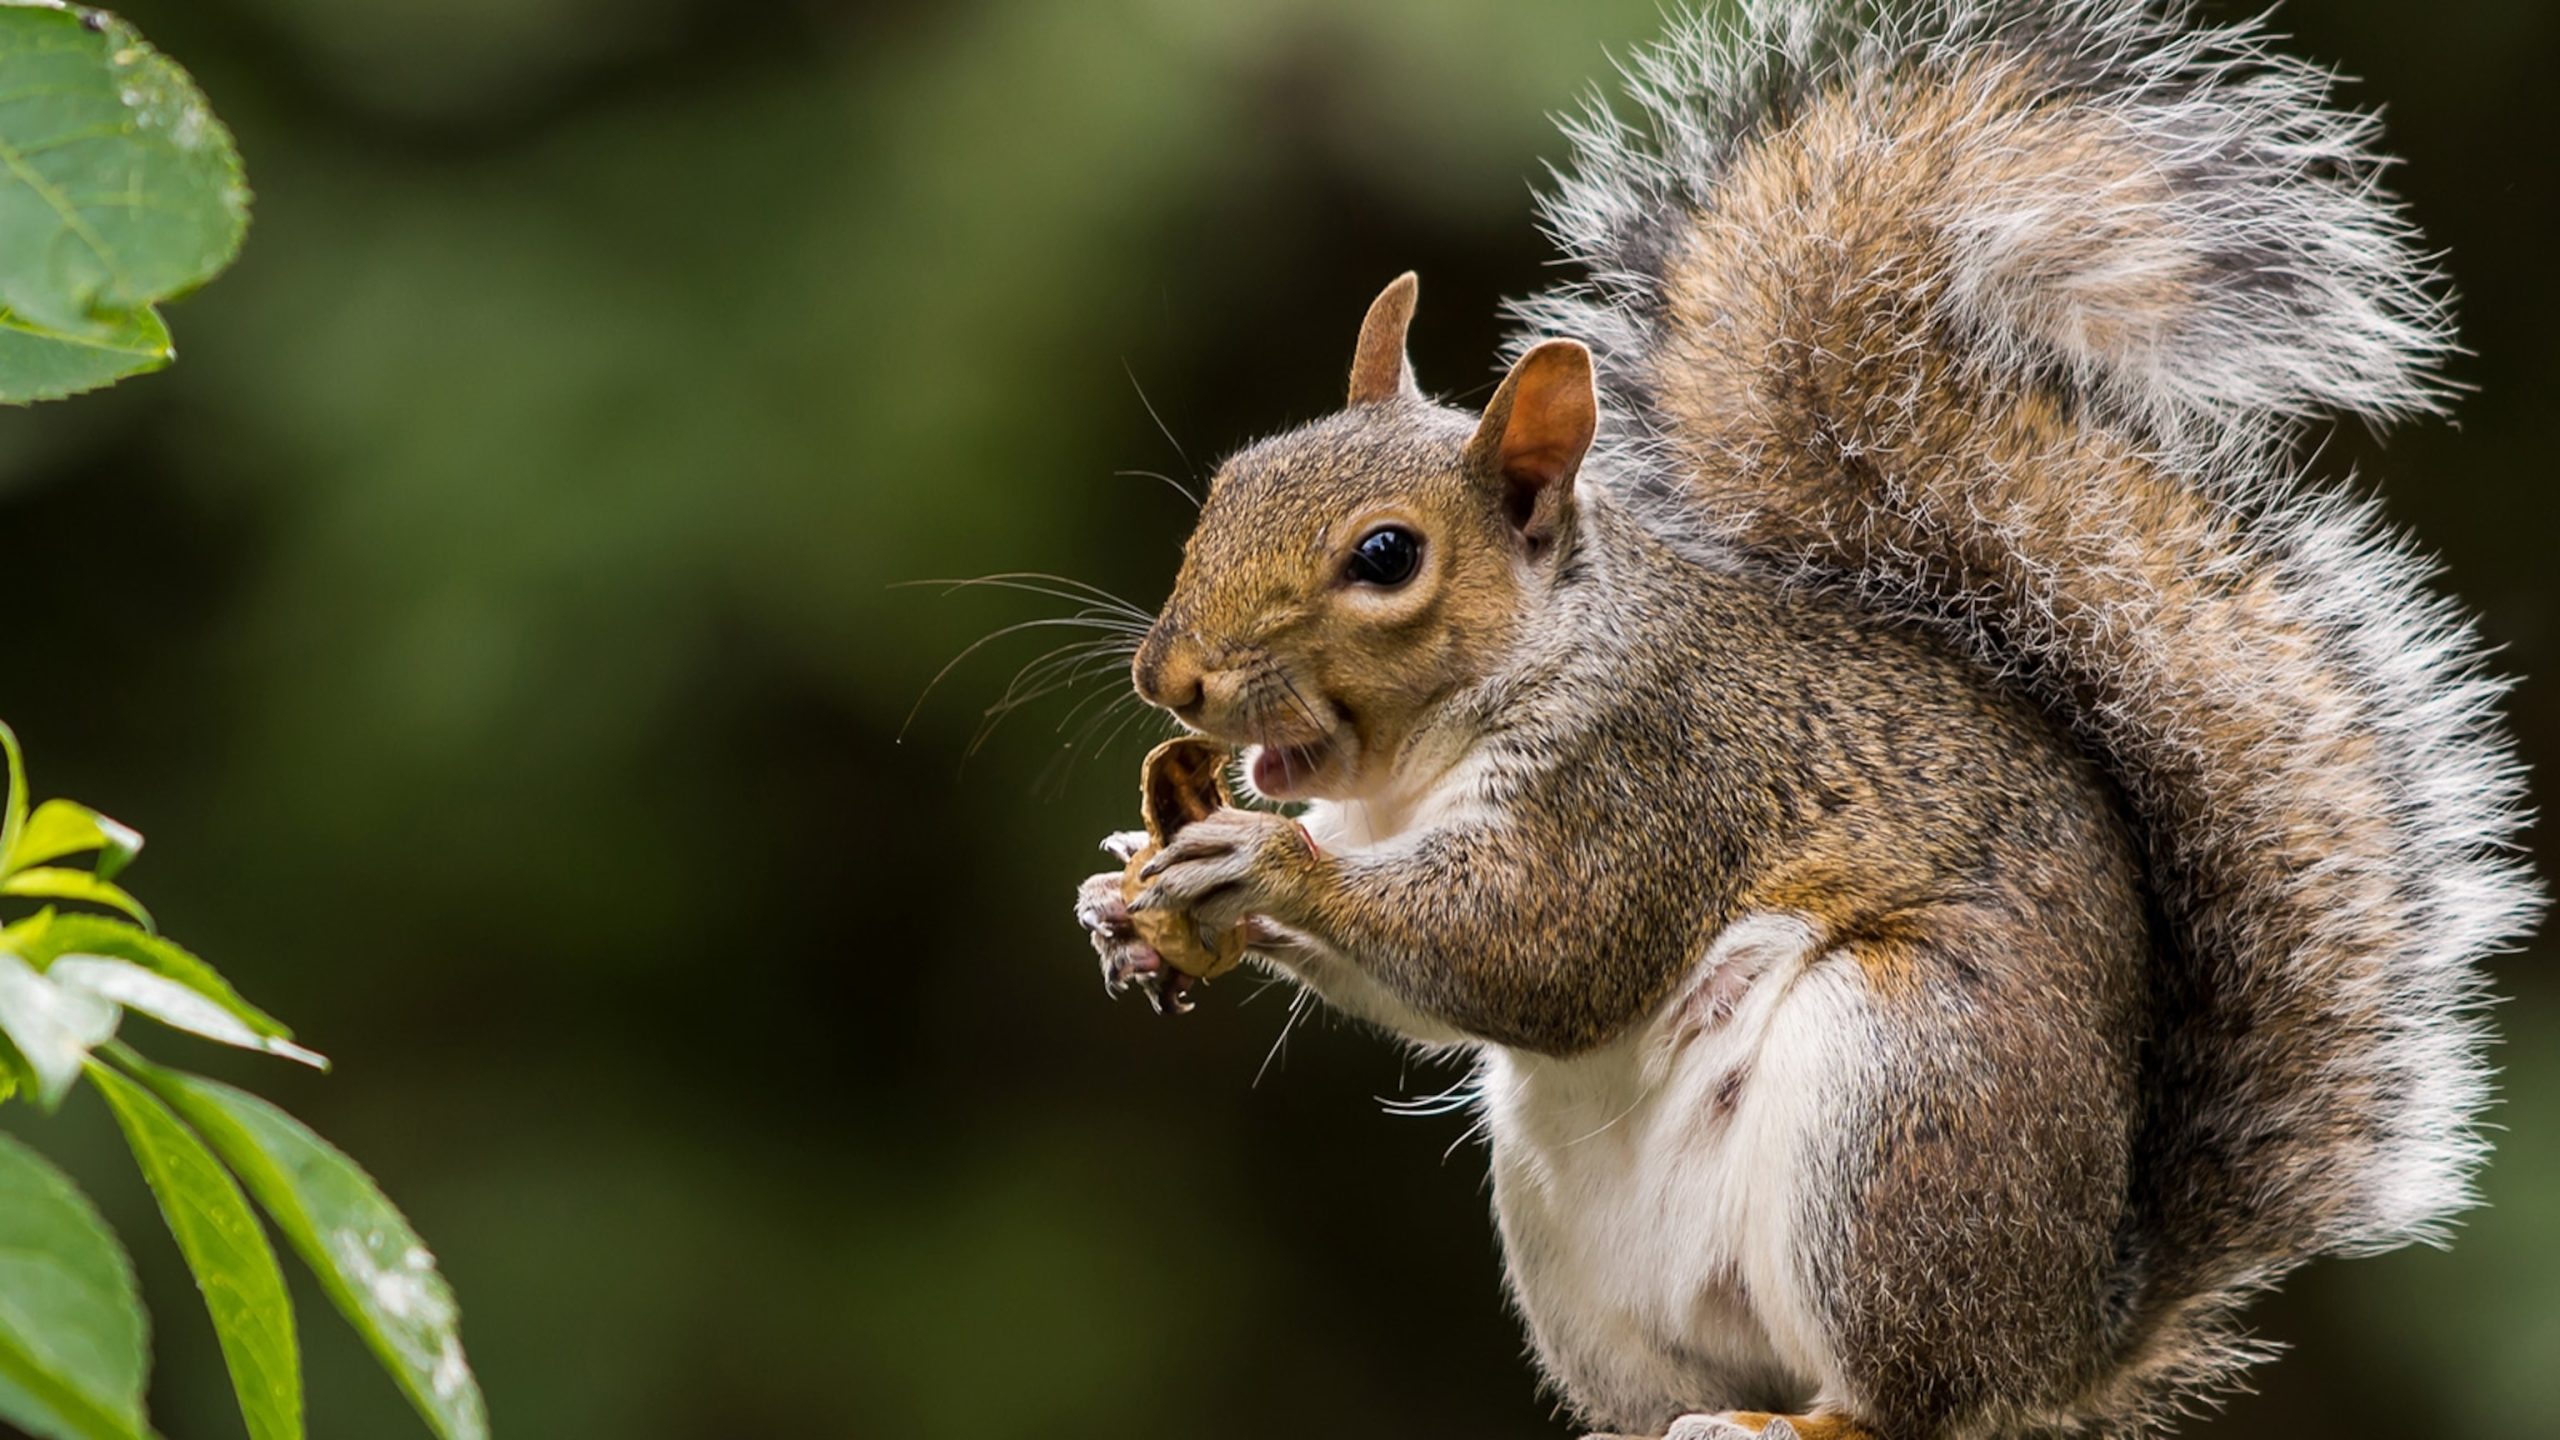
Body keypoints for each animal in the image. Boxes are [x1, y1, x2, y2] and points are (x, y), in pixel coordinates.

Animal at [1064, 5, 2539, 1424]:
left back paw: (1808, 1416)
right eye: (1236, 475)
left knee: (1900, 1402)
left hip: (1894, 1114)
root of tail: (2064, 1337)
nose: (1169, 680)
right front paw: (1125, 896)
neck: (1422, 764)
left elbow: (1532, 953)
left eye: (1385, 558)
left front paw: (1262, 860)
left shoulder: (1653, 779)